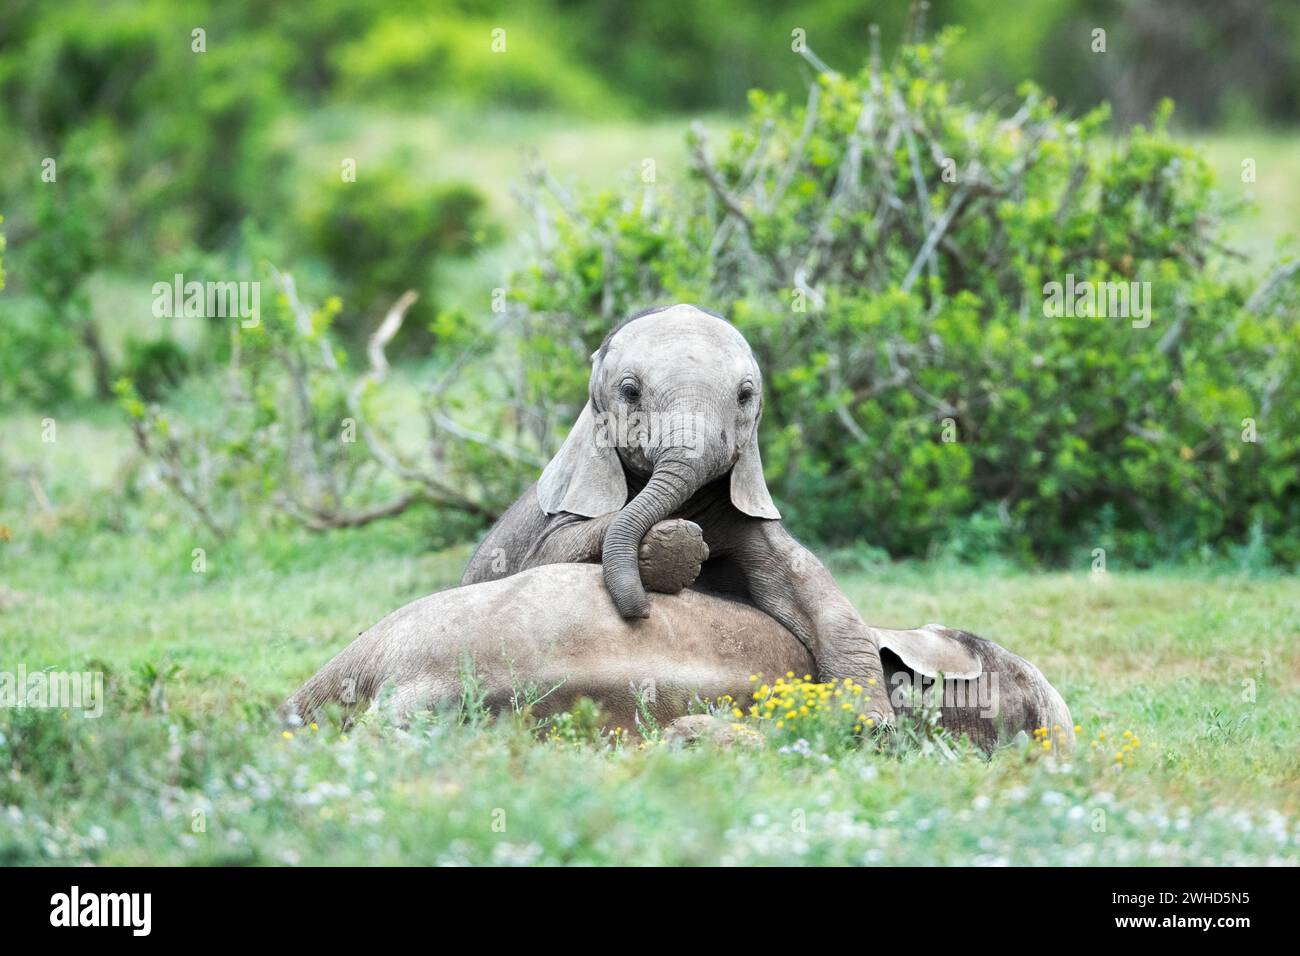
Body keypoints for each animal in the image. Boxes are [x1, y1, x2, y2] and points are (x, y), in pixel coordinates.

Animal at [460, 304, 895, 723]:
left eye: (745, 396)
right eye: (630, 391)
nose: (641, 611)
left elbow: (805, 577)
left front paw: (868, 722)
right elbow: (551, 556)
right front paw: (677, 546)